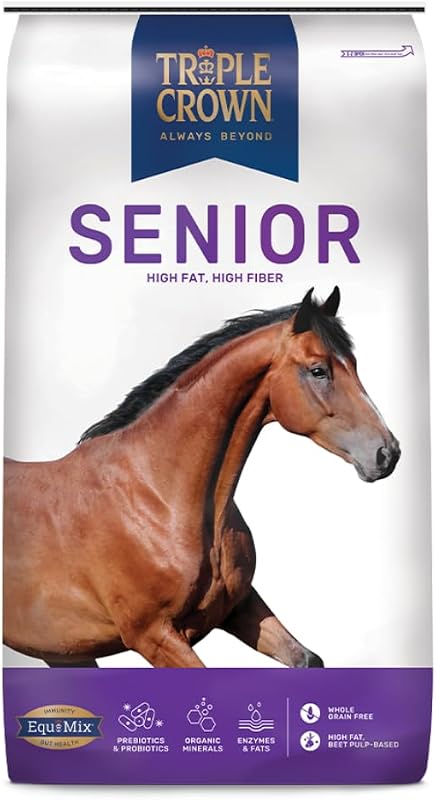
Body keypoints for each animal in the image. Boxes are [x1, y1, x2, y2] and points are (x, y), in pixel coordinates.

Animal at [3, 287, 400, 668]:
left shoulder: (239, 607)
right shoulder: (154, 636)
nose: (388, 453)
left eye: (354, 364)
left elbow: (307, 659)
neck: (158, 496)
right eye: (319, 370)